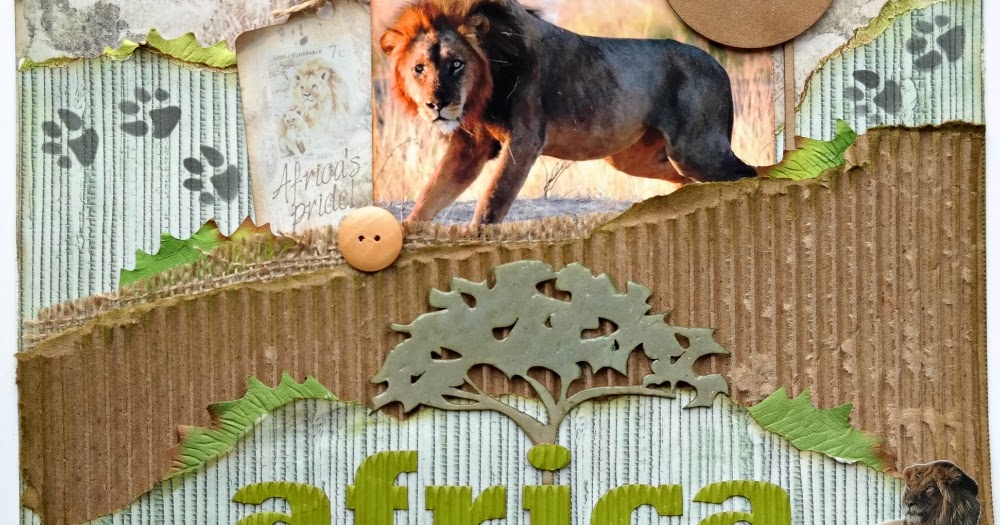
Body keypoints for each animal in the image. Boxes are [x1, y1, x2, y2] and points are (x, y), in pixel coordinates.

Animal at [380, 0, 758, 225]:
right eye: (419, 68)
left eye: (457, 64)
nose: (437, 105)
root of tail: (719, 65)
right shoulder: (470, 146)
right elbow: (428, 198)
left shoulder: (524, 141)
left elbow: (490, 204)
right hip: (634, 158)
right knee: (689, 182)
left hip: (698, 150)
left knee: (749, 173)